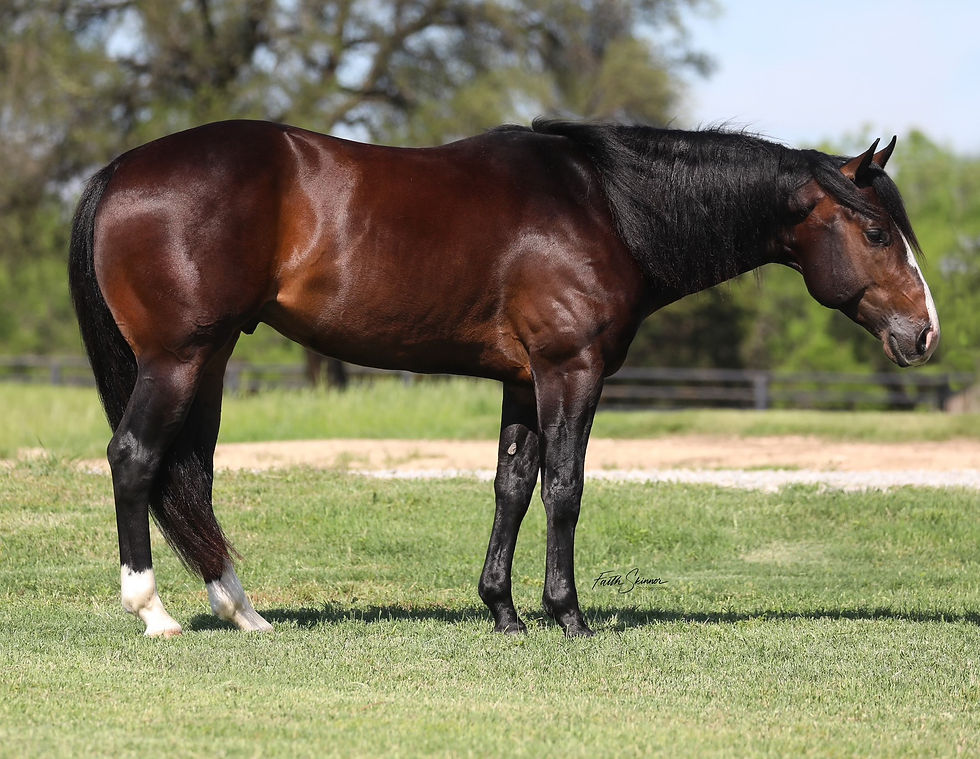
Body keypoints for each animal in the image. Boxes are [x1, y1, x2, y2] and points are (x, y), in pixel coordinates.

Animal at [69, 119, 939, 638]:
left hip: (208, 360)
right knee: (135, 459)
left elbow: (512, 486)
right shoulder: (570, 370)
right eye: (875, 230)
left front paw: (503, 610)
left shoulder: (522, 381)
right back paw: (153, 611)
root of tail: (119, 167)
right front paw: (568, 614)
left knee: (191, 476)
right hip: (178, 358)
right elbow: (565, 488)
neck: (606, 205)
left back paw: (242, 610)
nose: (924, 333)